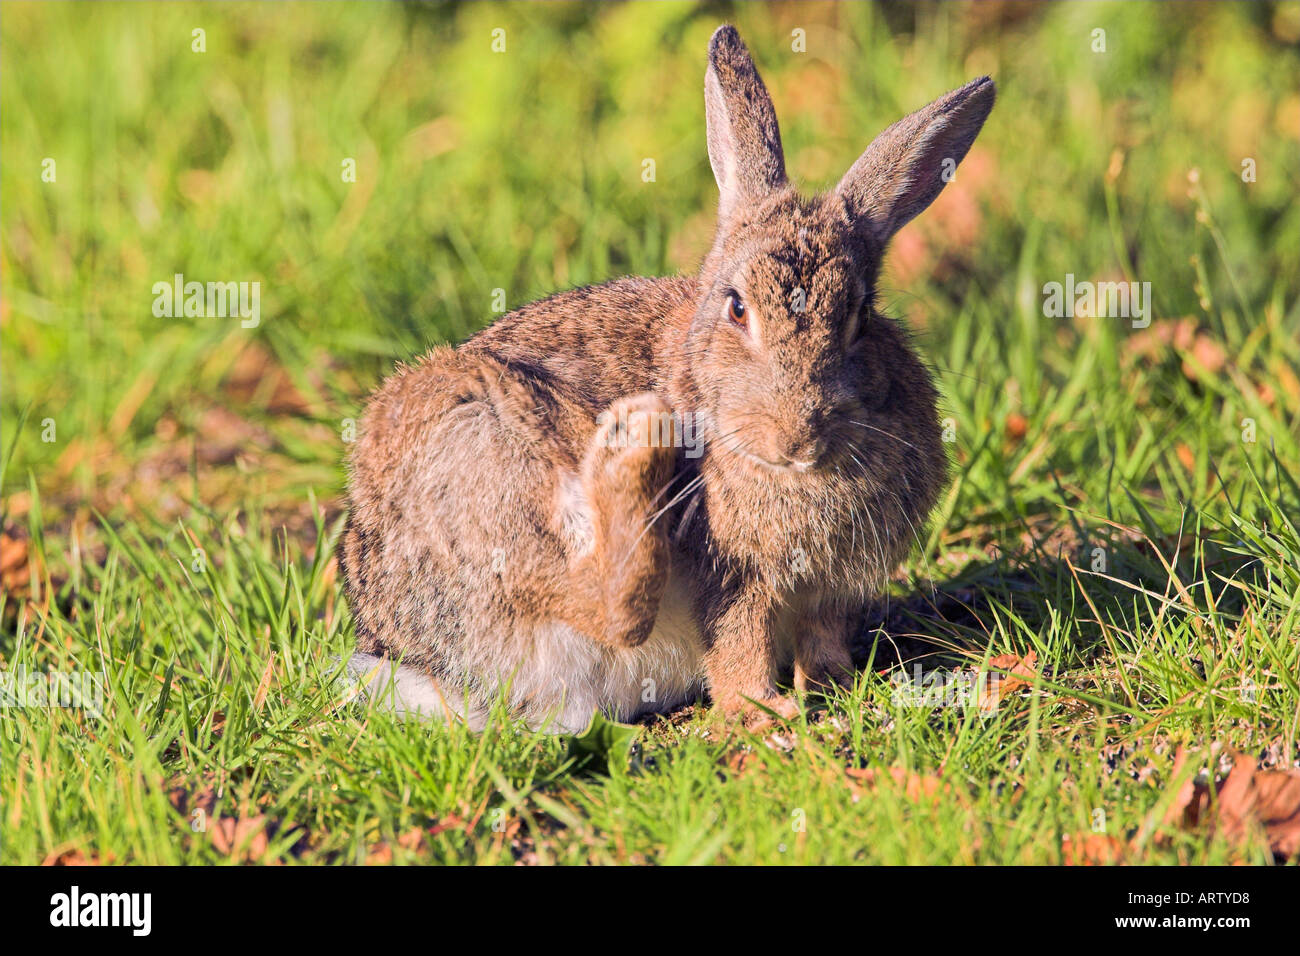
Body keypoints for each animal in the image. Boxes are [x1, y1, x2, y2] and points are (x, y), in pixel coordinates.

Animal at [339, 25, 995, 732]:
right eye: (737, 308)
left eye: (862, 316)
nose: (796, 440)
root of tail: (417, 653)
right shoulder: (734, 575)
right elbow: (738, 646)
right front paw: (766, 716)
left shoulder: (827, 590)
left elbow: (819, 640)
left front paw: (838, 692)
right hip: (485, 453)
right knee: (610, 604)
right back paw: (632, 446)